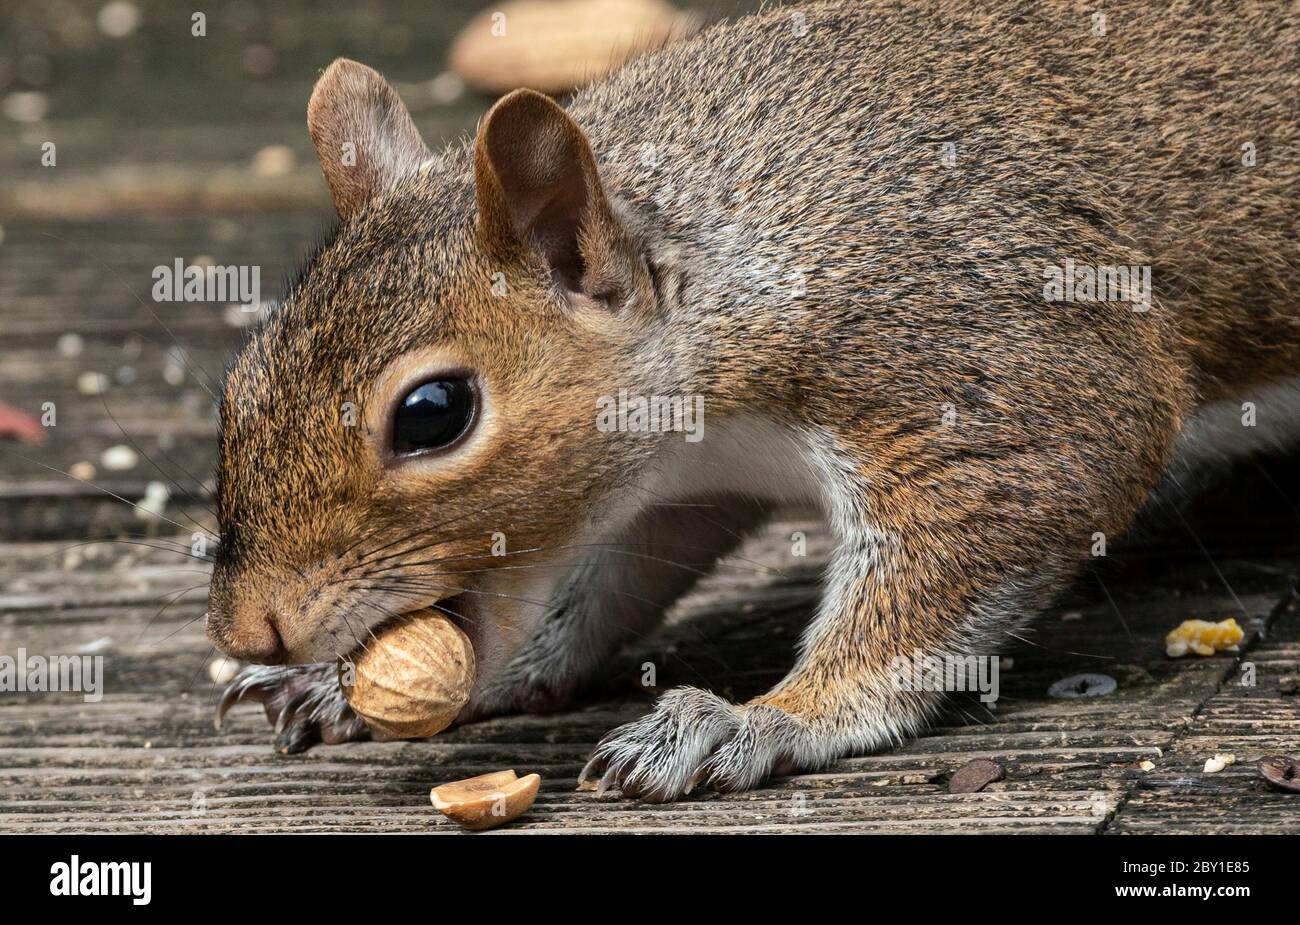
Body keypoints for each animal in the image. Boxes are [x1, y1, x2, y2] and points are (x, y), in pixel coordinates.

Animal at [207, 0, 1300, 801]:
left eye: (432, 412)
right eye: (243, 376)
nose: (247, 632)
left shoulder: (1000, 374)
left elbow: (970, 554)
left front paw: (761, 716)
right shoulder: (683, 482)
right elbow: (594, 587)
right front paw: (341, 685)